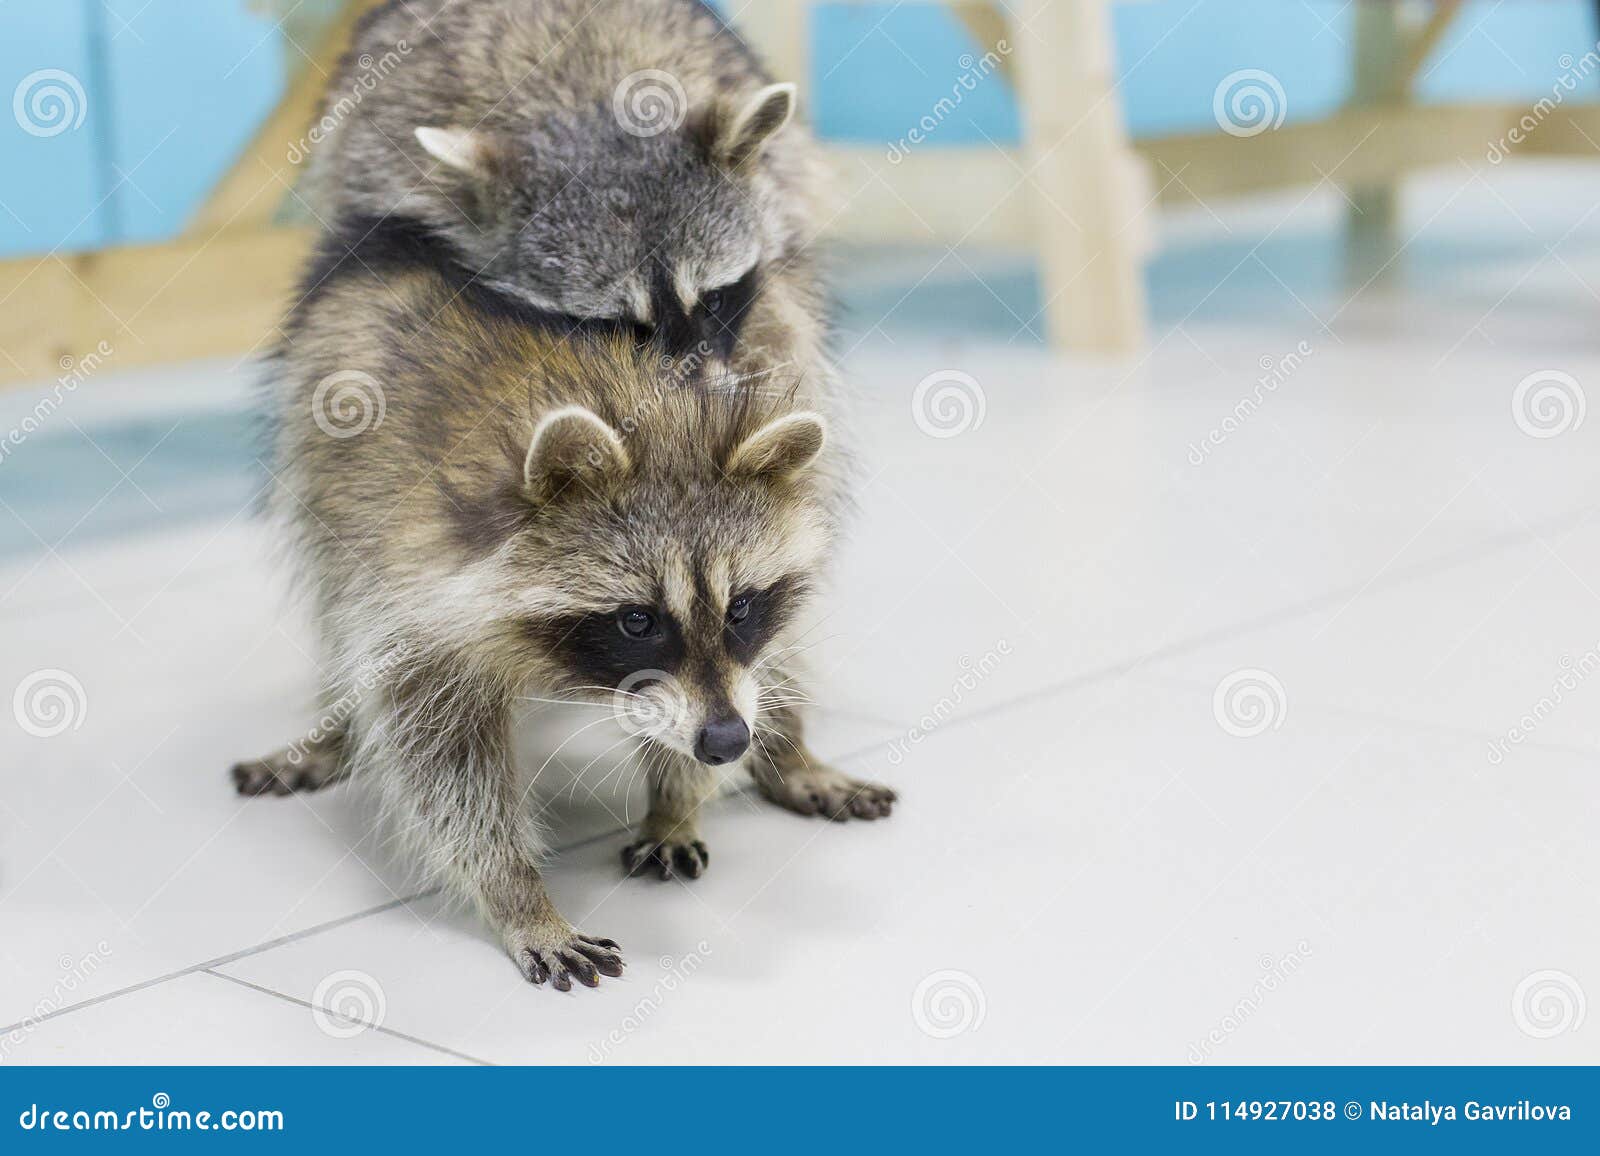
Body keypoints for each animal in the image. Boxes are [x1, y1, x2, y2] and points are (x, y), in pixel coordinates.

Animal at [232, 219, 893, 991]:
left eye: (740, 609)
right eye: (638, 621)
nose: (728, 742)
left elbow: (742, 677)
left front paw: (677, 801)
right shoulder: (413, 593)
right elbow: (443, 763)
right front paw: (517, 893)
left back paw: (790, 751)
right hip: (320, 482)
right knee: (337, 614)